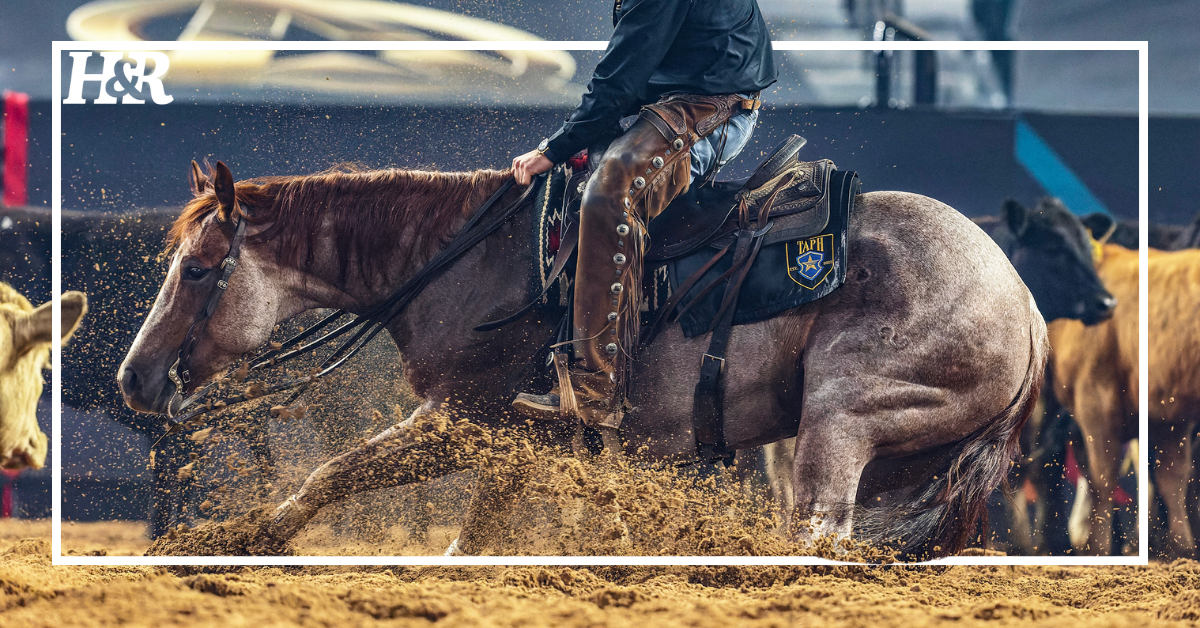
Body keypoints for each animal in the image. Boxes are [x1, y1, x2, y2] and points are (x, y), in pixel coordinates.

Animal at [118, 159, 1047, 558]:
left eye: (196, 269)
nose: (133, 378)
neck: (470, 264)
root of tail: (1028, 307)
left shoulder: (461, 418)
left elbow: (332, 474)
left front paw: (234, 541)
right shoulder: (517, 443)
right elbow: (474, 541)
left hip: (844, 423)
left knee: (817, 532)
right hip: (898, 458)